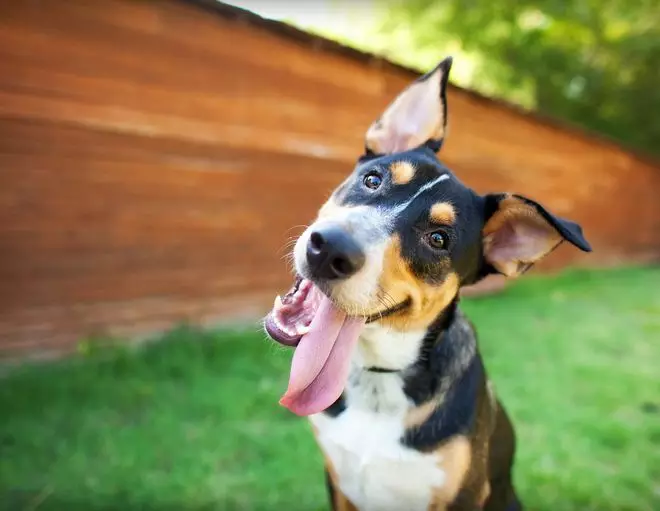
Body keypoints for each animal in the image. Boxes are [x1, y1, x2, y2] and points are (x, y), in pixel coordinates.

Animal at [264, 58, 592, 510]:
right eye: (372, 179)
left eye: (438, 239)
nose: (328, 249)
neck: (380, 381)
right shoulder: (338, 481)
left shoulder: (462, 495)